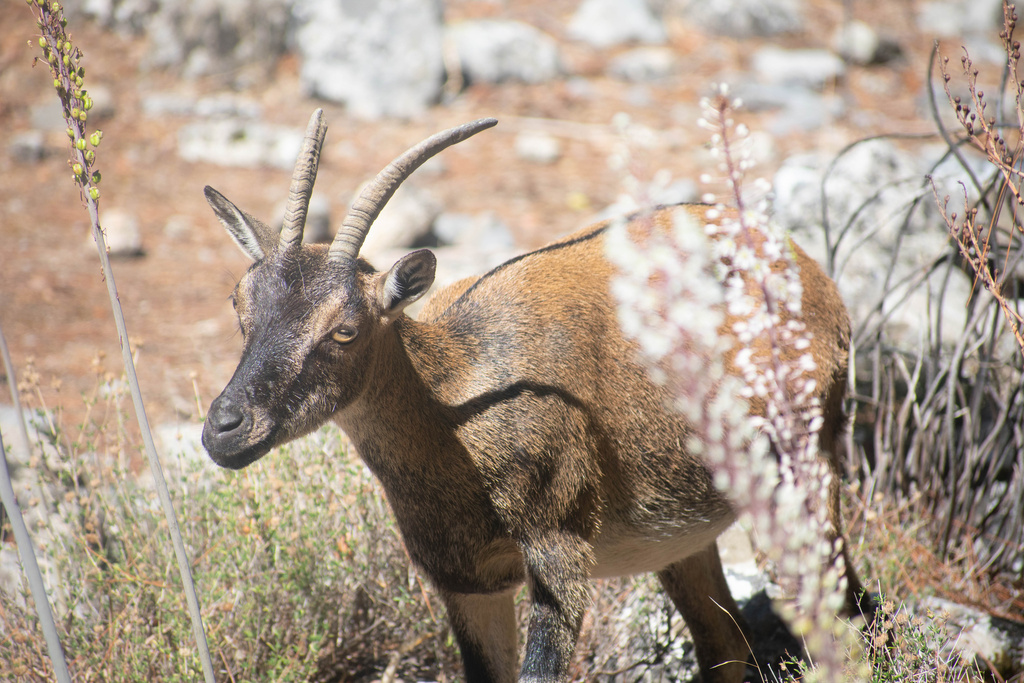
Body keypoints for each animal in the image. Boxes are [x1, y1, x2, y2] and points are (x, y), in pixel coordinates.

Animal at [201, 109, 867, 683]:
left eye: (345, 328)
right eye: (239, 303)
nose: (225, 428)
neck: (452, 405)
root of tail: (807, 269)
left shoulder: (559, 554)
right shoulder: (469, 581)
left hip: (803, 477)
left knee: (848, 617)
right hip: (685, 538)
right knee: (725, 643)